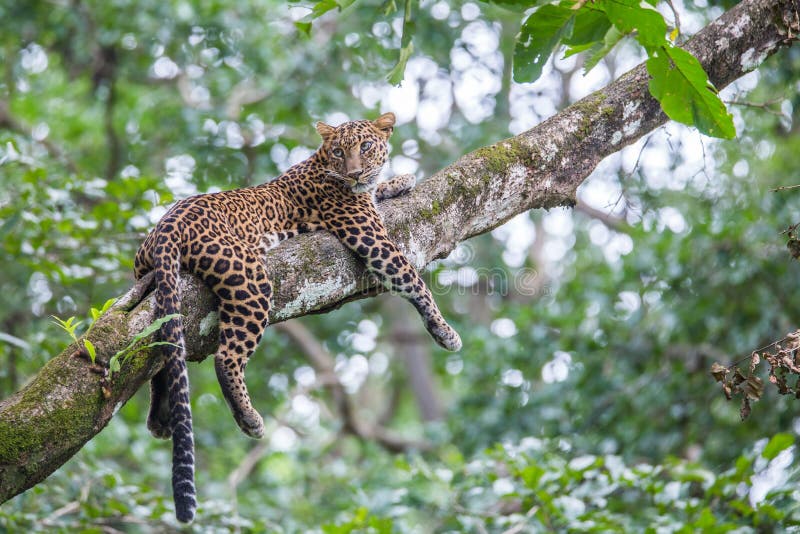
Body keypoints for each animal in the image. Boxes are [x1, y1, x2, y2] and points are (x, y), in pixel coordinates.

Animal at [133, 112, 461, 523]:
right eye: (339, 152)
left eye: (366, 146)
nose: (354, 172)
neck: (323, 163)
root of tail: (164, 226)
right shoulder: (373, 238)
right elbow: (414, 282)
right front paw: (444, 330)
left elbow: (378, 188)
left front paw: (399, 180)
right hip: (251, 280)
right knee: (226, 357)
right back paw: (249, 419)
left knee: (163, 355)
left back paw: (161, 419)